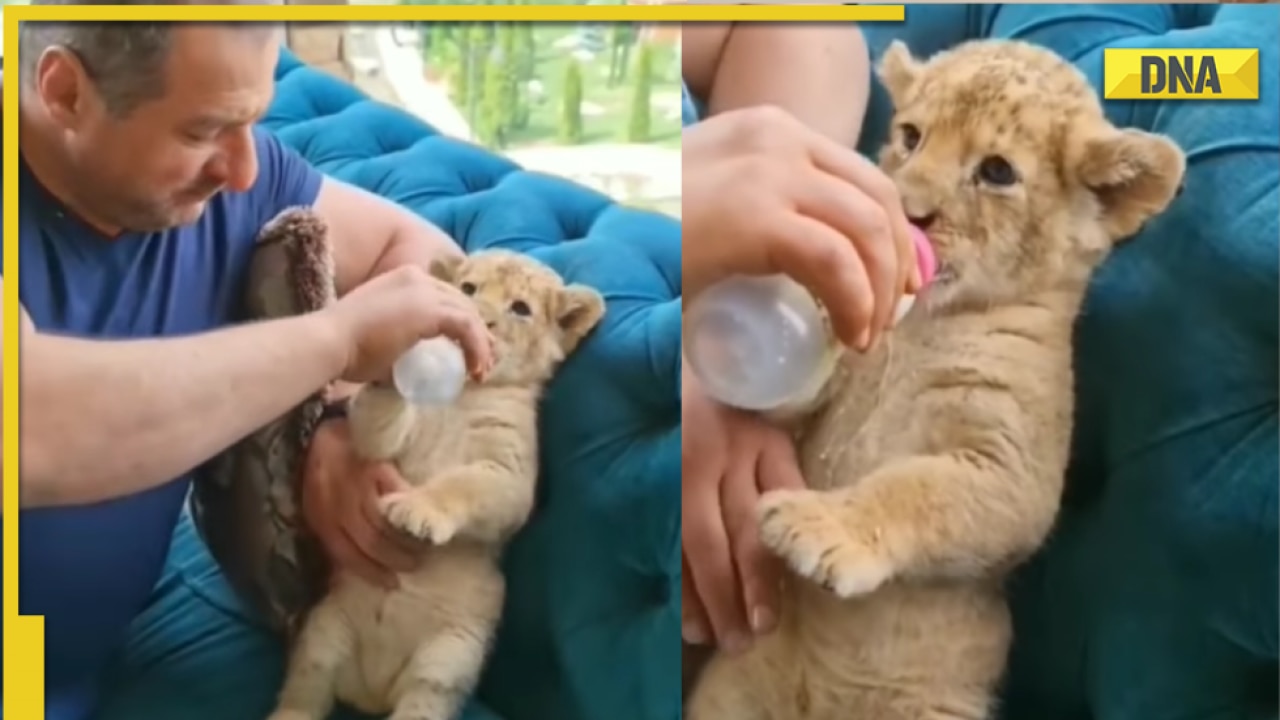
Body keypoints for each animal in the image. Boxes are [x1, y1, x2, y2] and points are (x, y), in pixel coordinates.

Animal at [267, 249, 606, 720]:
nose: (480, 321)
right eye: (468, 288)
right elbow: (380, 423)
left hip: (447, 660)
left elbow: (462, 484)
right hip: (323, 632)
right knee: (304, 692)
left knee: (421, 701)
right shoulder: (385, 440)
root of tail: (371, 694)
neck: (464, 394)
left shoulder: (510, 474)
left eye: (521, 308)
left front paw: (416, 512)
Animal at [684, 39, 1186, 720]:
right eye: (911, 136)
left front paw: (819, 527)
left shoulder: (1009, 468)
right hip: (731, 695)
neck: (920, 325)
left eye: (997, 172)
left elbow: (914, 487)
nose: (906, 213)